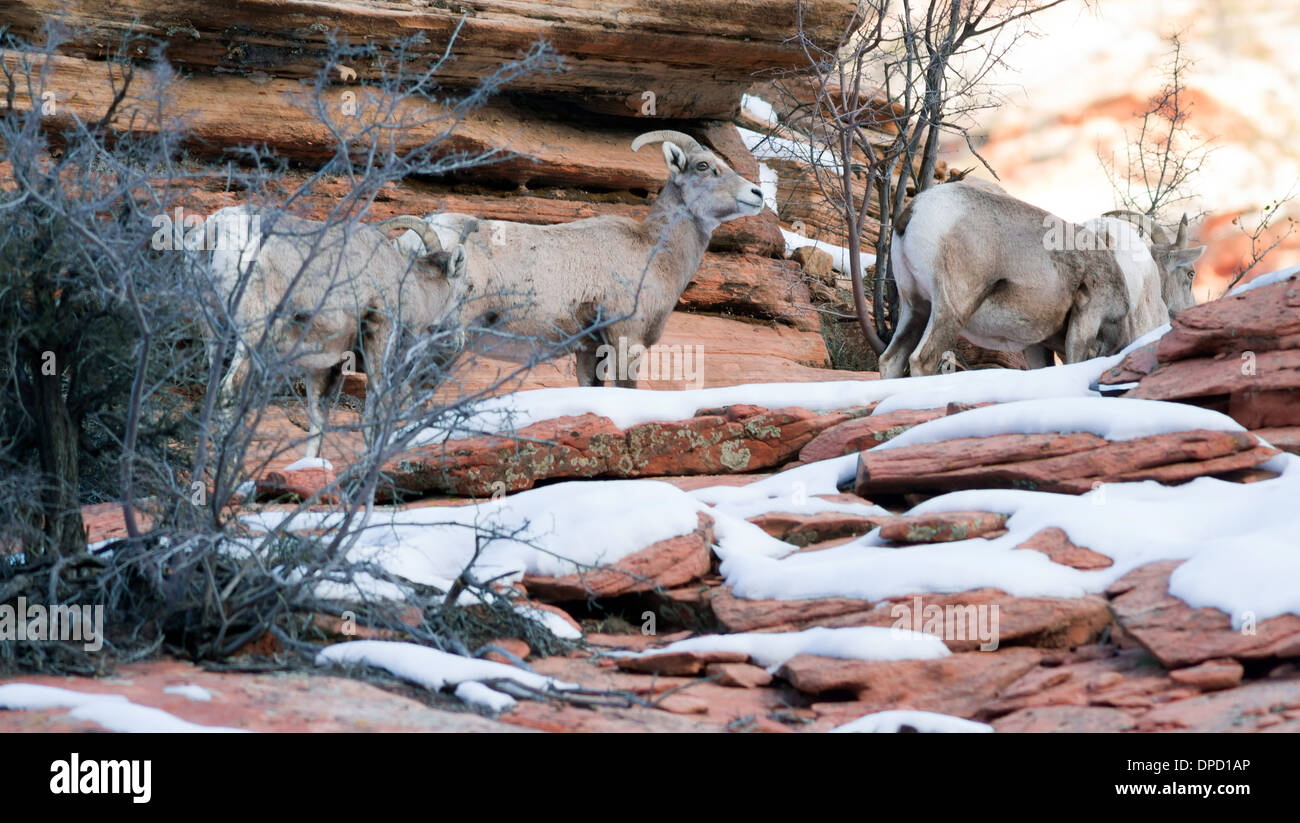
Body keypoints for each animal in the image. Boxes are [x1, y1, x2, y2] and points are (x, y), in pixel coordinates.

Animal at [200, 207, 466, 459]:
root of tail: (218, 227)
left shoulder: (324, 367)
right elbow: (375, 404)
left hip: (217, 336)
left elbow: (318, 419)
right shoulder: (379, 342)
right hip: (252, 335)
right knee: (229, 390)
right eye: (463, 293)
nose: (459, 341)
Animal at [391, 130, 766, 387]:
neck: (653, 253)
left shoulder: (589, 350)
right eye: (703, 166)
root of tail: (407, 242)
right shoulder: (626, 341)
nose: (757, 194)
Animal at [879, 182, 1170, 377]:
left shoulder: (1037, 346)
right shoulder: (1087, 321)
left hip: (915, 307)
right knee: (923, 359)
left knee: (891, 360)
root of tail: (914, 212)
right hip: (952, 309)